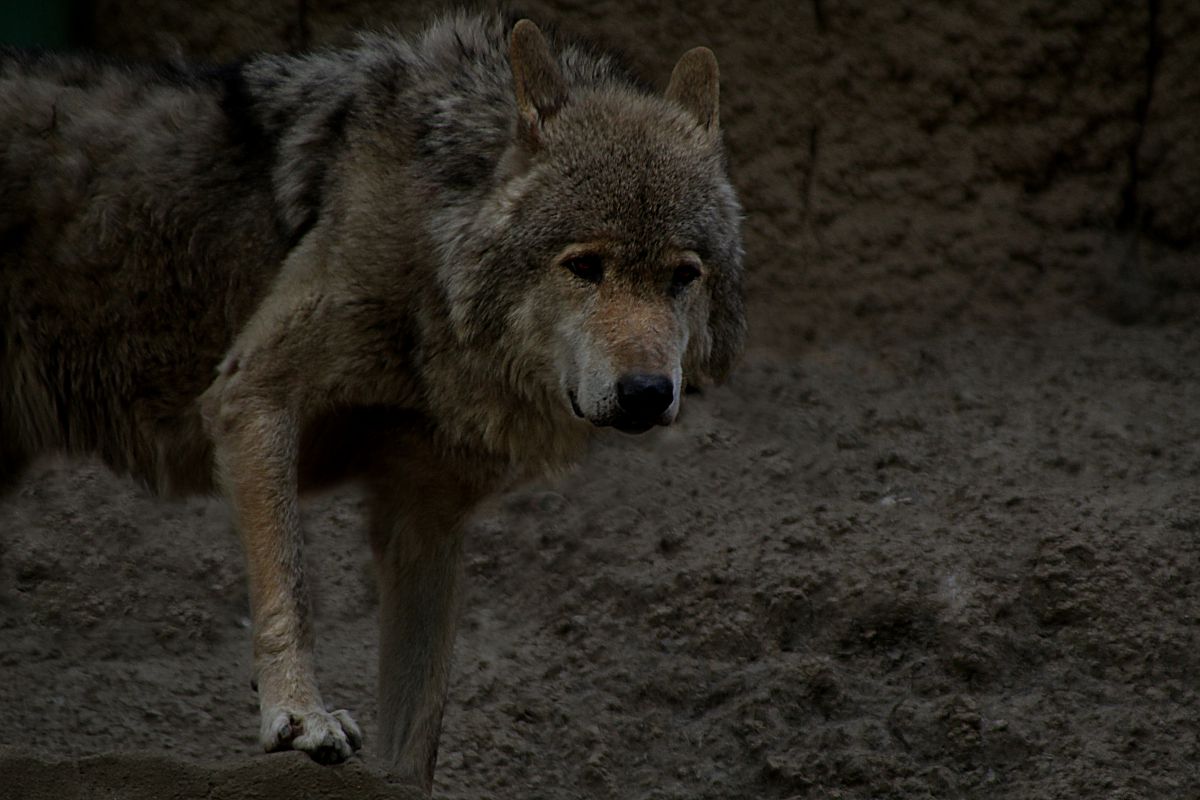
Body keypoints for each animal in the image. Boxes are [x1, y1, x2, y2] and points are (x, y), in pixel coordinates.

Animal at [0, 10, 744, 790]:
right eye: (585, 267)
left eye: (682, 276)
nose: (647, 394)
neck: (433, 255)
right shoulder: (252, 391)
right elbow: (291, 587)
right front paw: (299, 717)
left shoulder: (425, 514)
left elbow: (420, 719)